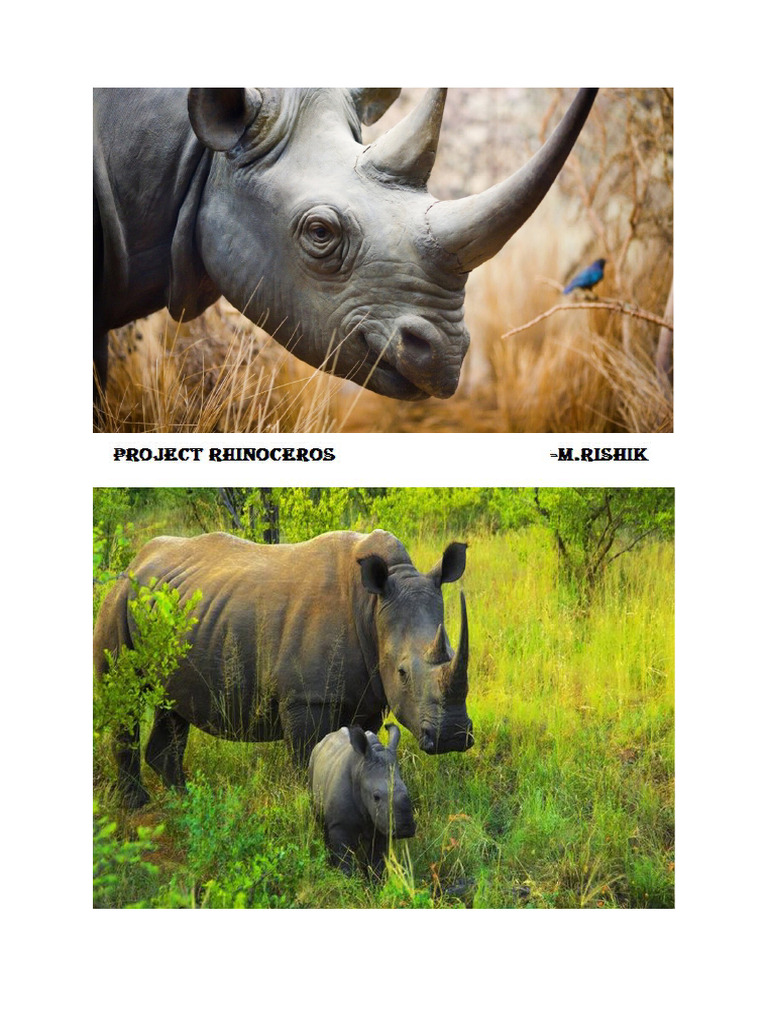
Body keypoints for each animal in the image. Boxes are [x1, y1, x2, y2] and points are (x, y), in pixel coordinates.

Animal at [93, 529, 472, 808]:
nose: (452, 735)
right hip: (119, 599)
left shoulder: (367, 696)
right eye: (402, 673)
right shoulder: (307, 698)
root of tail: (136, 561)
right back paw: (137, 804)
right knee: (125, 694)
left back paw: (185, 801)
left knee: (172, 704)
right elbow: (308, 759)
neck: (373, 607)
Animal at [309, 723, 416, 876]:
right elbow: (344, 859)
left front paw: (377, 881)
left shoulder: (383, 822)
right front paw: (346, 880)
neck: (360, 768)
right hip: (312, 763)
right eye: (376, 797)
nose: (406, 828)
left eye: (407, 790)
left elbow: (377, 860)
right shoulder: (339, 825)